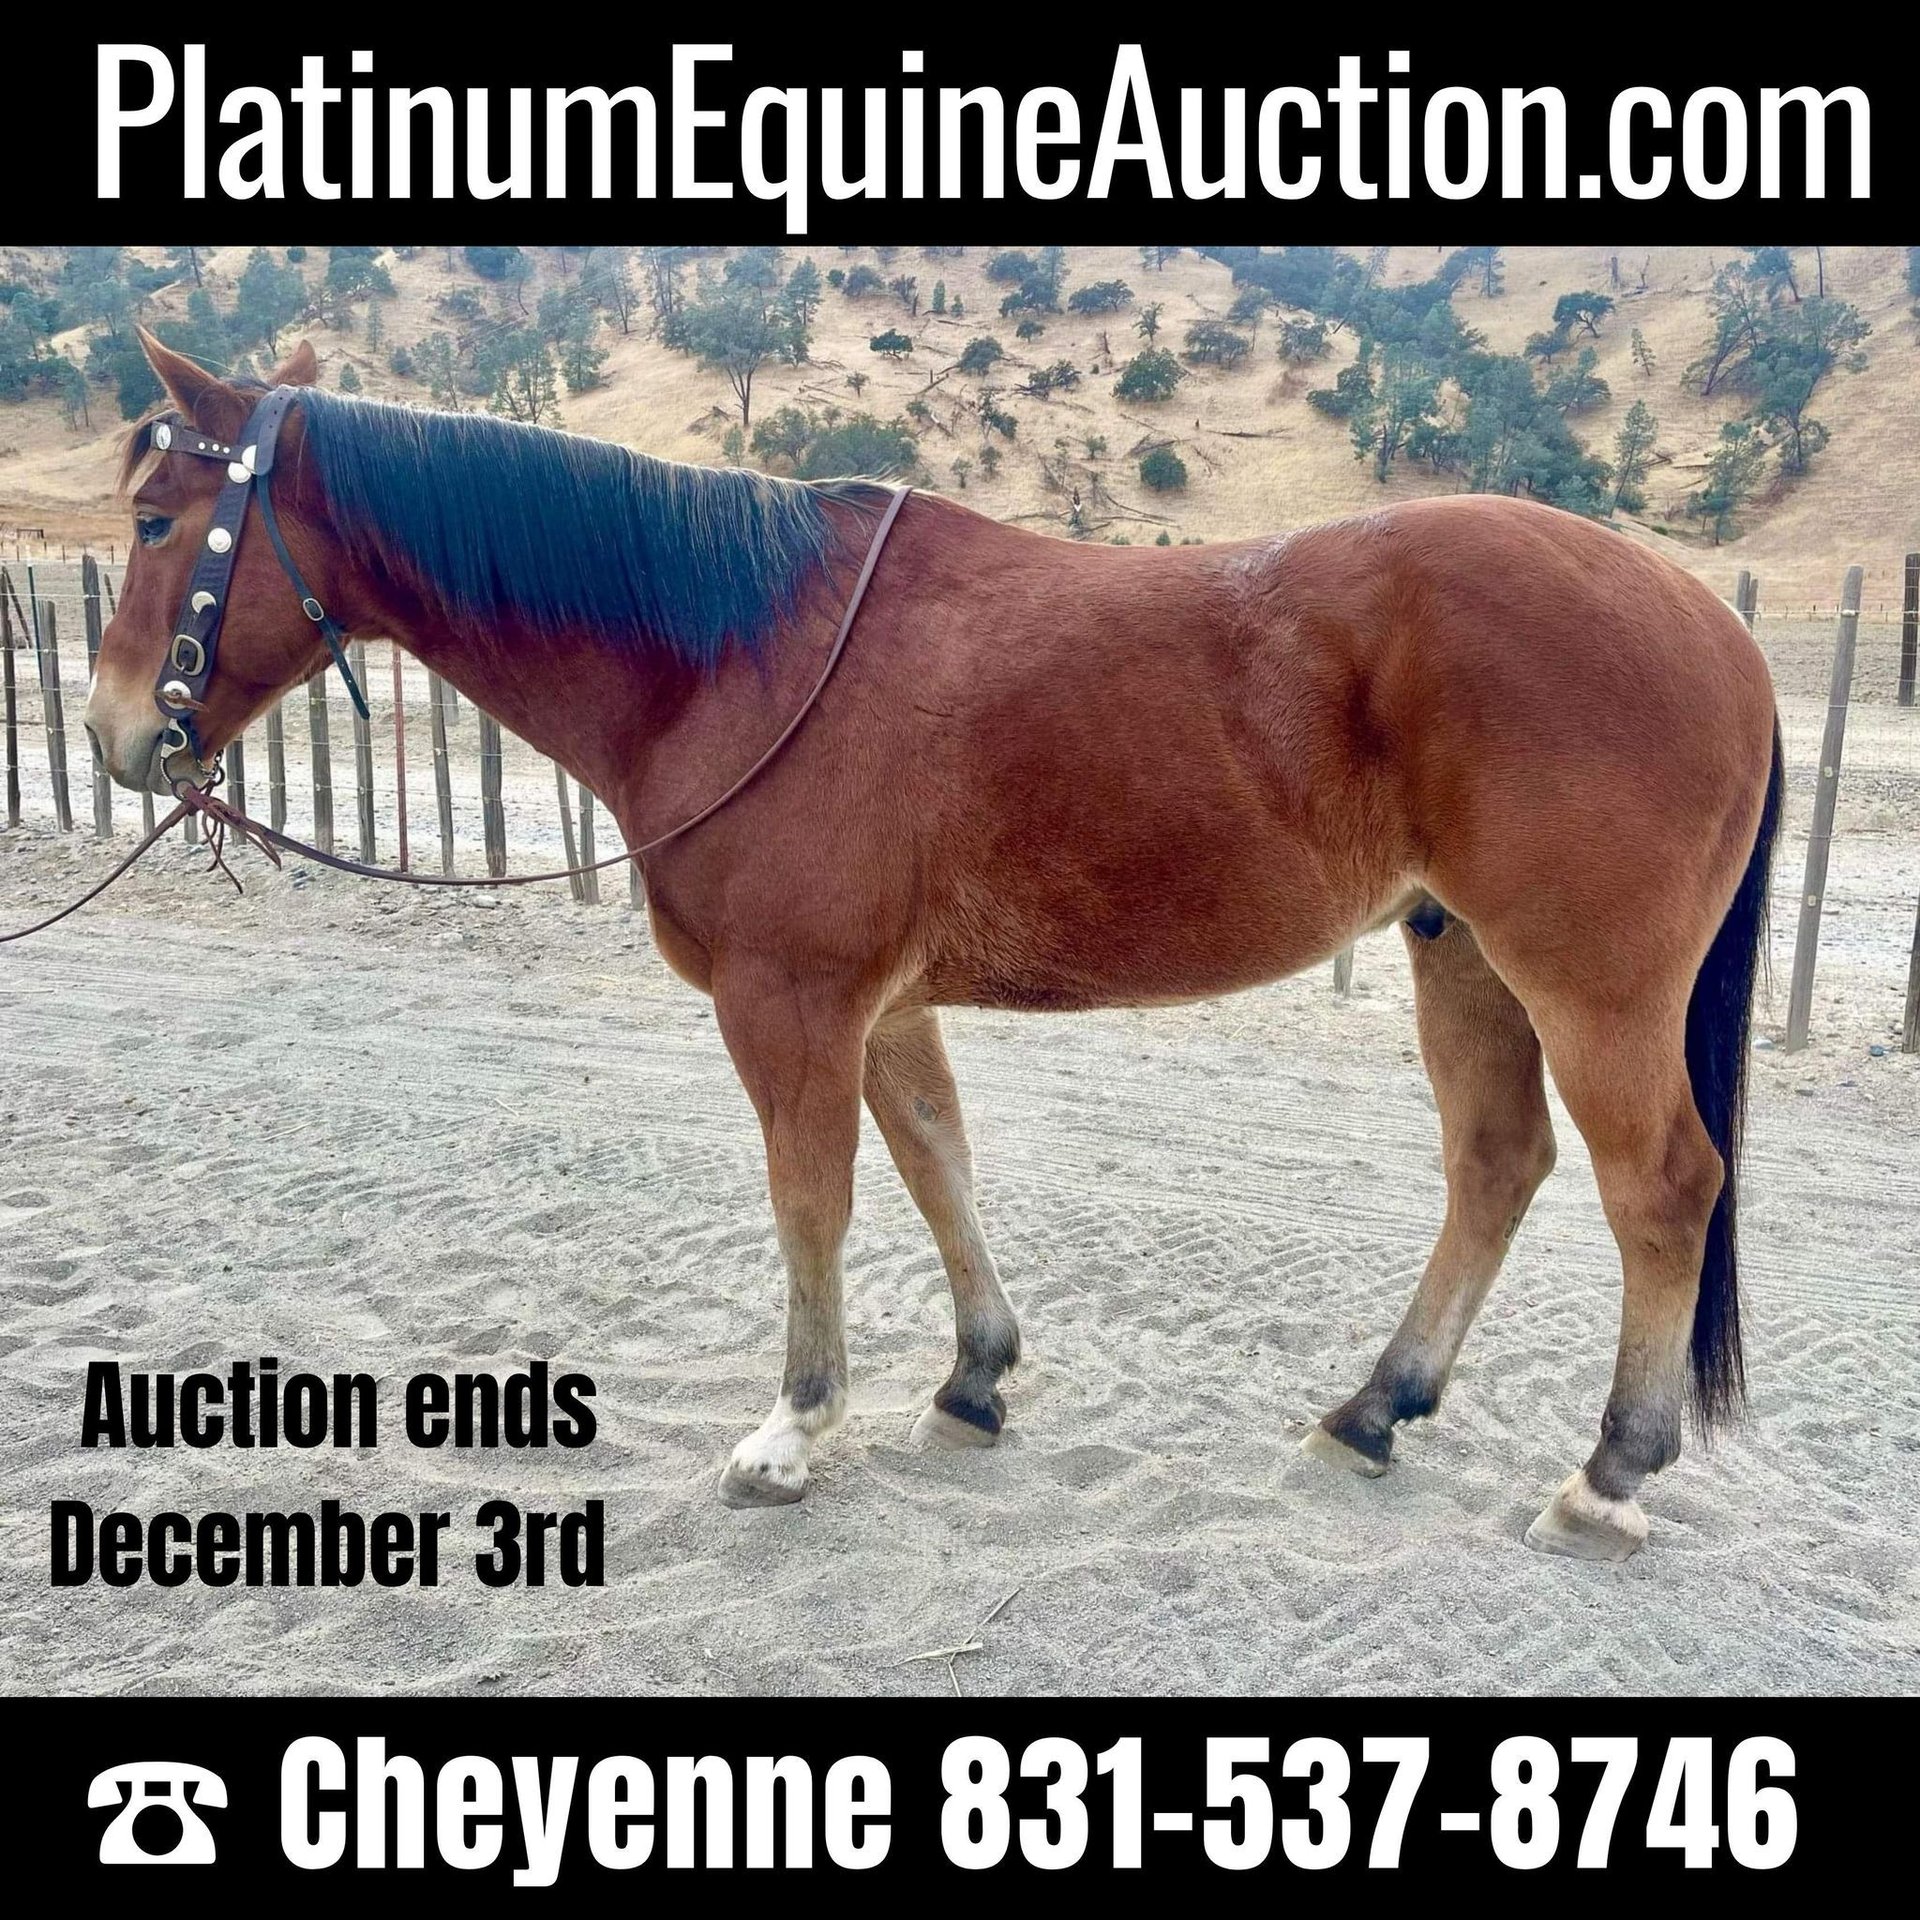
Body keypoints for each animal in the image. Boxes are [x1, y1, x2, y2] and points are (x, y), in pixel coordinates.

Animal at [84, 329, 1783, 1562]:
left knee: (1662, 1189)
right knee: (1499, 1163)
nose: (113, 738)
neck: (735, 652)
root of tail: (1721, 630)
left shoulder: (790, 1002)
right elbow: (934, 1161)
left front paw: (797, 1428)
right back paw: (1377, 1408)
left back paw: (1610, 1475)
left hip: (1587, 986)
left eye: (163, 519)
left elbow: (814, 1201)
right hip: (1461, 955)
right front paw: (974, 1376)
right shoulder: (878, 1005)